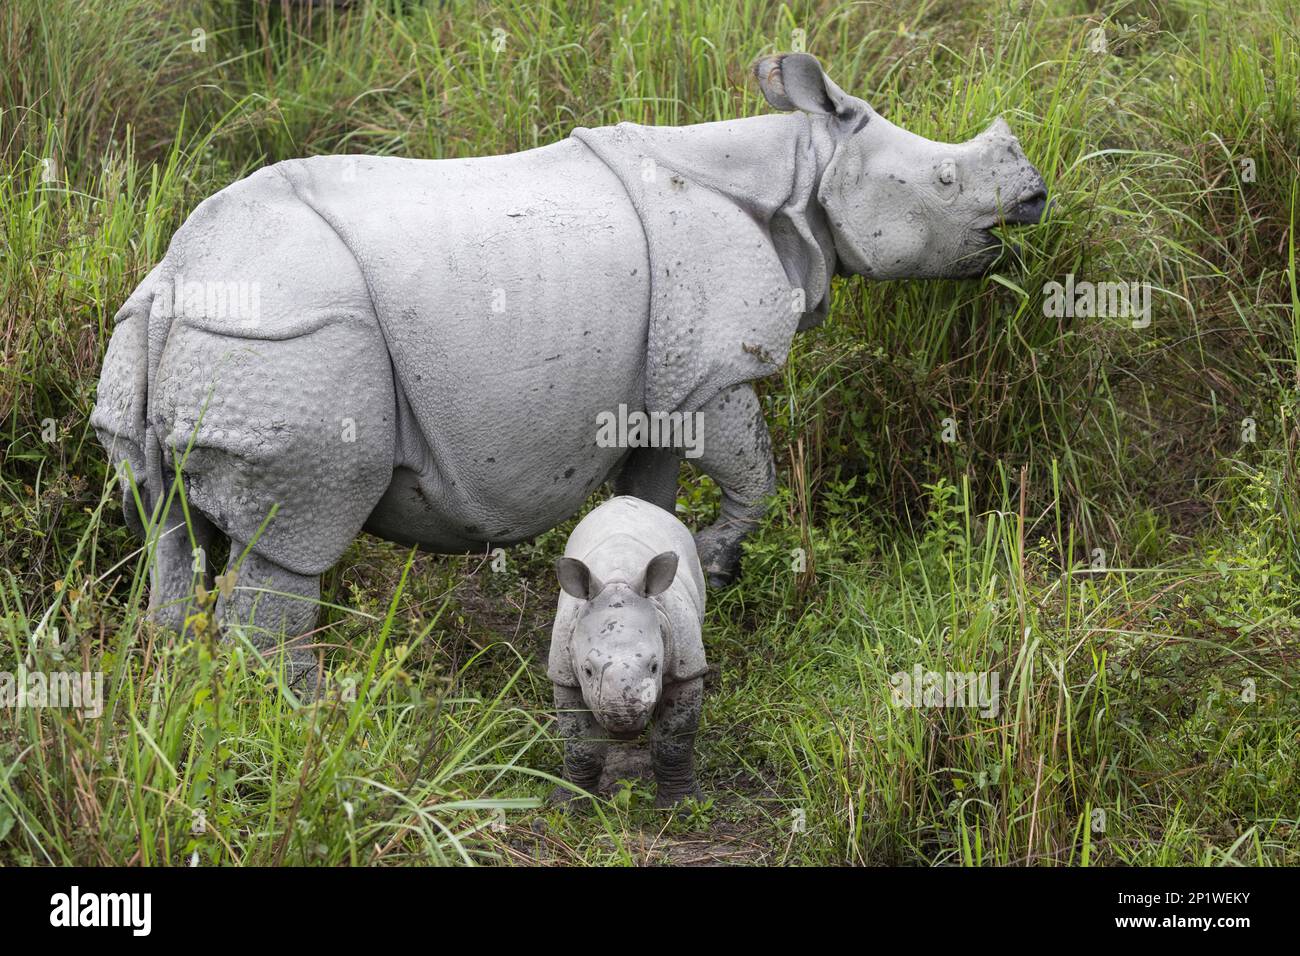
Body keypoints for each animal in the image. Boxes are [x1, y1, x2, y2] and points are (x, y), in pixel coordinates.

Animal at [91, 53, 1047, 688]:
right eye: (947, 179)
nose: (1037, 196)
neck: (802, 169)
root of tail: (175, 280)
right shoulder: (710, 367)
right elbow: (755, 473)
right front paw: (720, 561)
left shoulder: (661, 376)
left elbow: (651, 494)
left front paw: (672, 581)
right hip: (289, 340)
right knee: (289, 538)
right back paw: (311, 713)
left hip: (172, 337)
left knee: (167, 526)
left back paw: (184, 692)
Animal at [549, 495, 706, 807]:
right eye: (587, 670)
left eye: (655, 666)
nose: (624, 717)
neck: (616, 581)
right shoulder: (564, 675)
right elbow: (580, 747)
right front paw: (568, 806)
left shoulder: (687, 668)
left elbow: (674, 743)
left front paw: (681, 806)